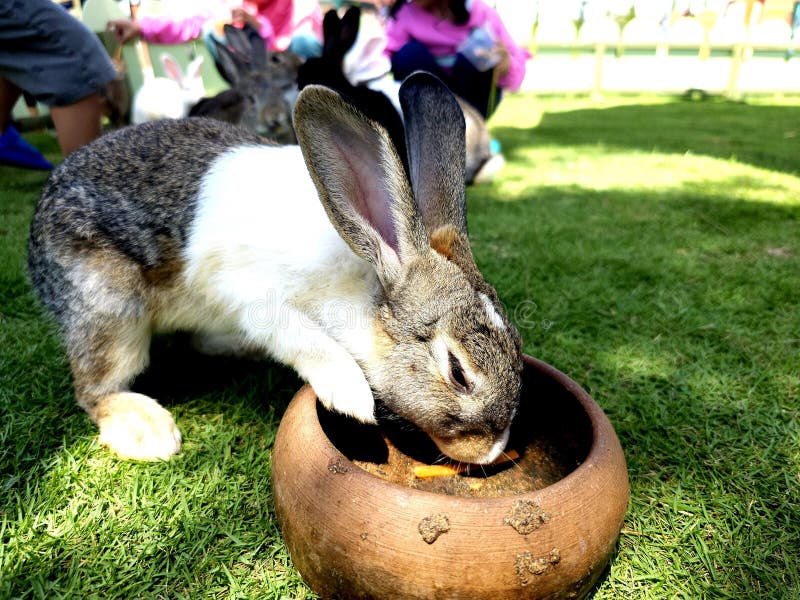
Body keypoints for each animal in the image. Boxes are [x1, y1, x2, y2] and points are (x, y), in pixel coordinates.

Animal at [27, 71, 523, 465]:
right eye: (458, 373)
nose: (492, 451)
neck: (369, 261)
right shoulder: (257, 299)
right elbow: (307, 342)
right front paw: (351, 393)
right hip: (109, 307)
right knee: (95, 388)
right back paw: (145, 429)